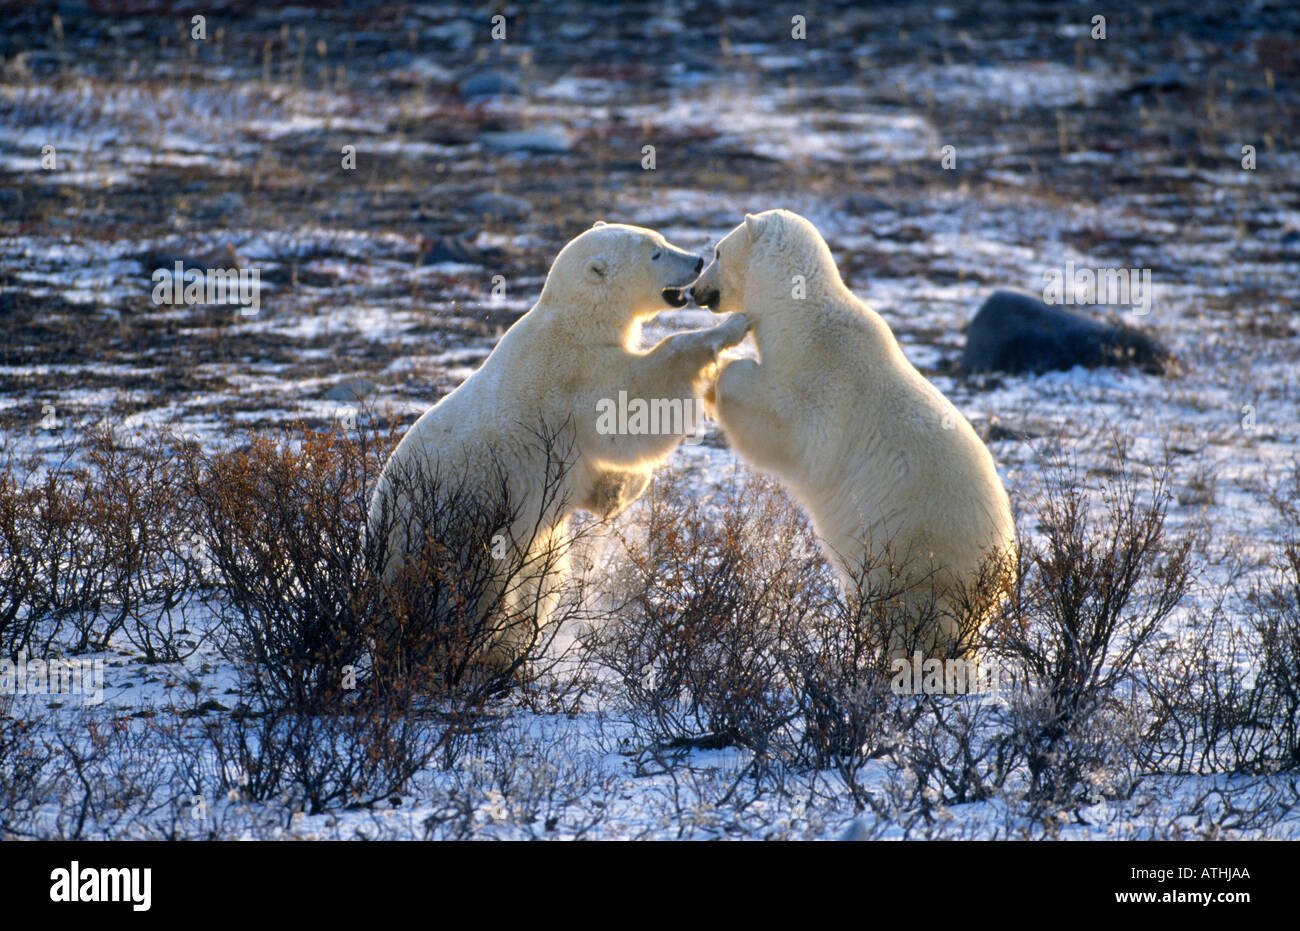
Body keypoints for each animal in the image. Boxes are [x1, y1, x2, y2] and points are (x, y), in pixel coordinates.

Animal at [369, 221, 749, 677]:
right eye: (656, 253)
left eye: (660, 239)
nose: (695, 260)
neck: (574, 321)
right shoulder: (575, 371)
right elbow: (634, 398)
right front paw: (733, 326)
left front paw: (618, 491)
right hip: (450, 531)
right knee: (467, 596)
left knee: (540, 583)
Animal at [690, 209, 1015, 659]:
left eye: (719, 250)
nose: (695, 290)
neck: (801, 314)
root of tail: (998, 574)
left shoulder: (822, 379)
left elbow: (782, 423)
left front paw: (719, 372)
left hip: (916, 555)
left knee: (909, 621)